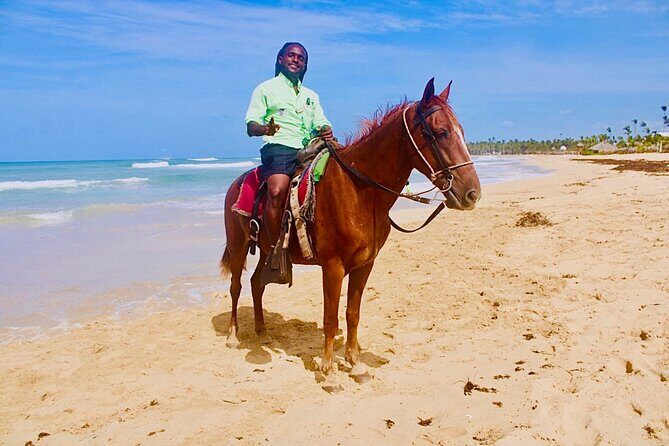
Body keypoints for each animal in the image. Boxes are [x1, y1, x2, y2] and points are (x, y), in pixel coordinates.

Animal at [220, 78, 481, 380]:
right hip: (238, 246)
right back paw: (233, 335)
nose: (472, 193)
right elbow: (330, 318)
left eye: (460, 132)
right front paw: (328, 370)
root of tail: (236, 183)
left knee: (256, 284)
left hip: (265, 250)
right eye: (441, 133)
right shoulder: (333, 266)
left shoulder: (365, 264)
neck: (358, 190)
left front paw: (355, 363)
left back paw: (262, 333)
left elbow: (352, 314)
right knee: (237, 286)